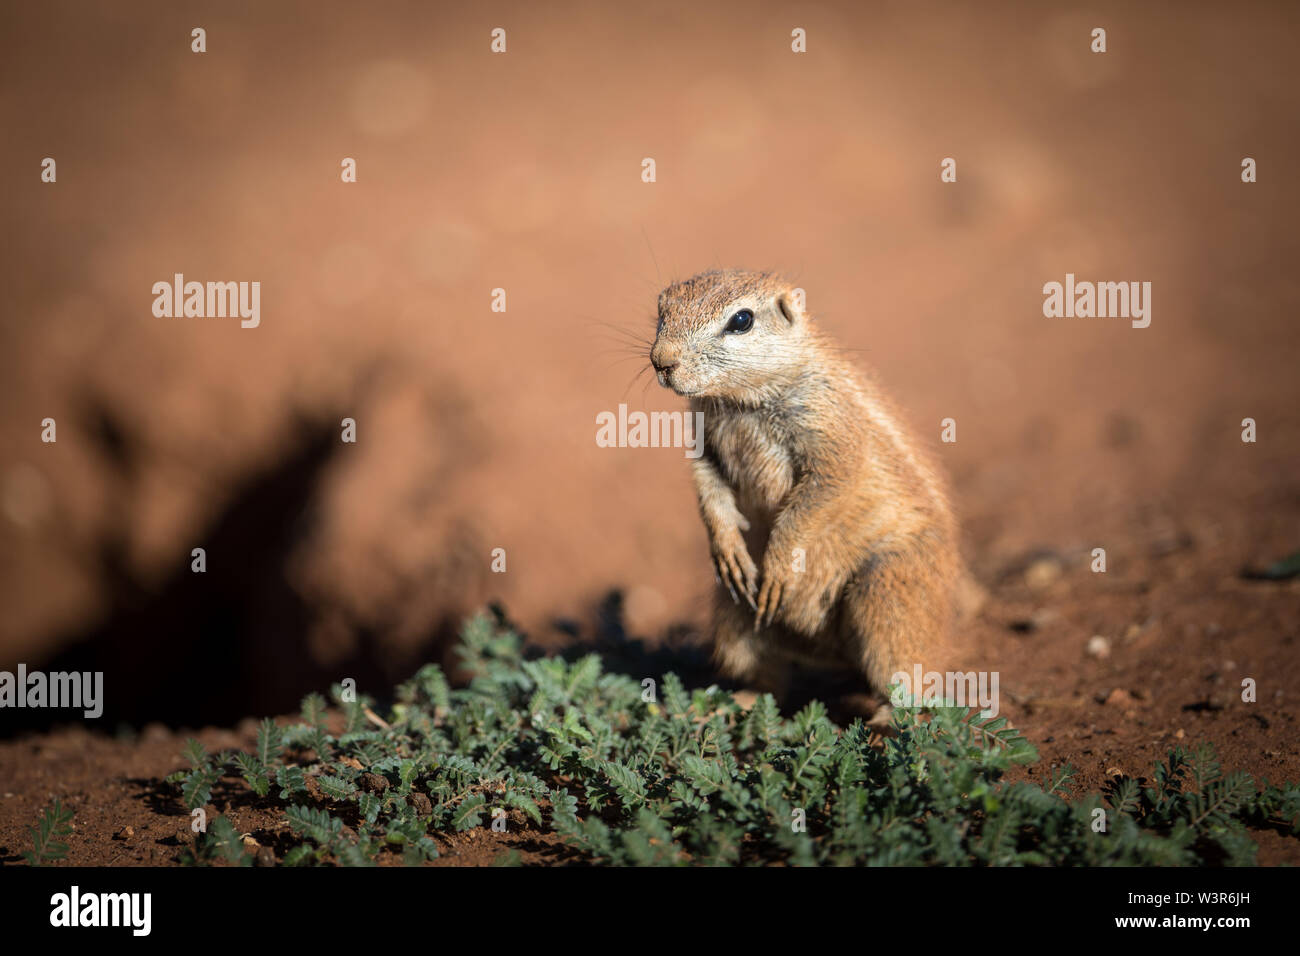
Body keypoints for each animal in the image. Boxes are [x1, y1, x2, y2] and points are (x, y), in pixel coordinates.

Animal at [649, 269, 967, 701]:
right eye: (662, 307)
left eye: (741, 320)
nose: (661, 361)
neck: (741, 402)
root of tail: (828, 651)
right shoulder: (703, 441)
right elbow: (706, 483)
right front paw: (726, 544)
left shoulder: (831, 432)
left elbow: (819, 495)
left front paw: (781, 564)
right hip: (732, 615)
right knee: (770, 677)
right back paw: (740, 700)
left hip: (887, 589)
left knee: (911, 684)